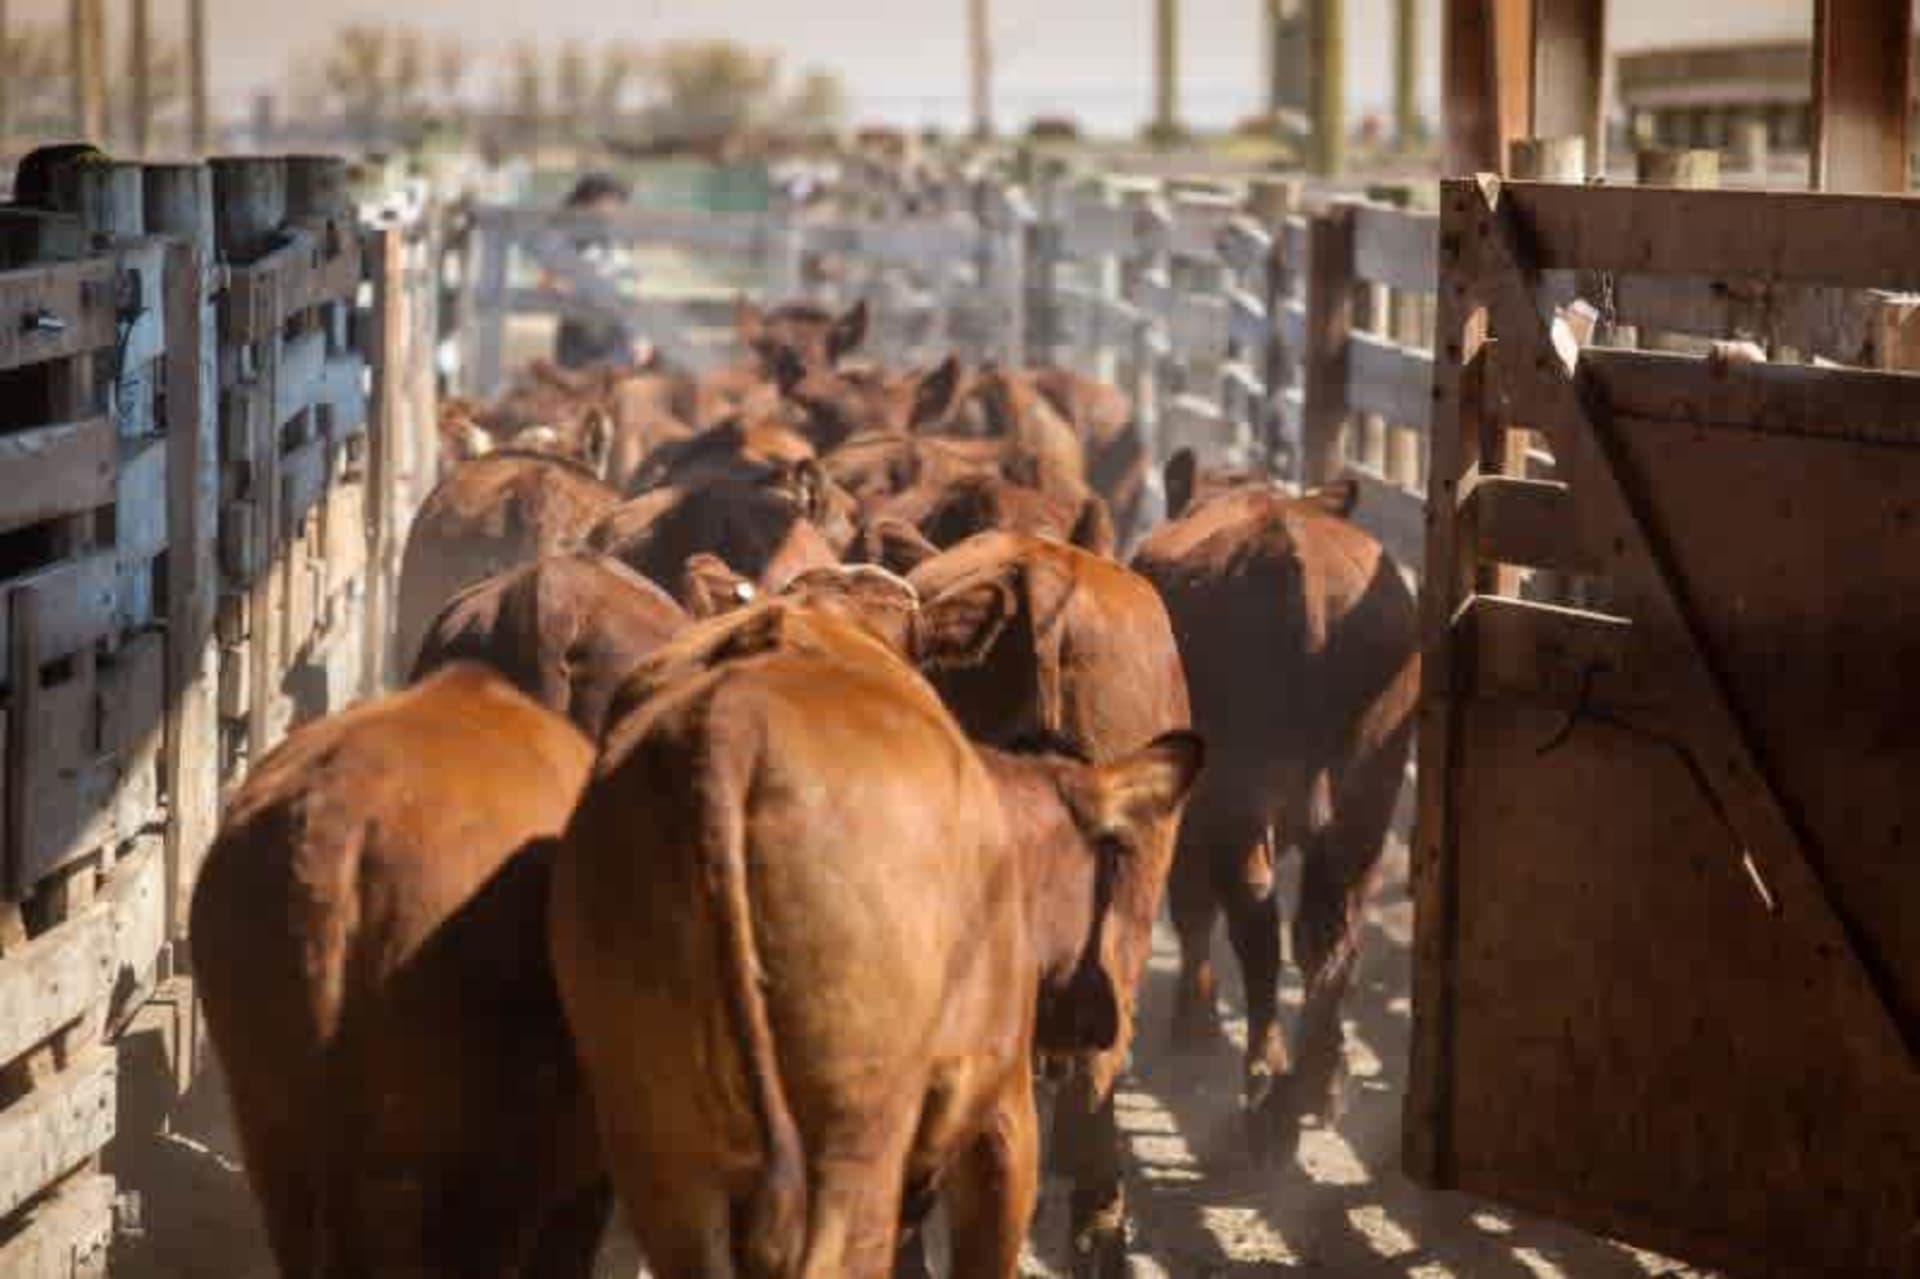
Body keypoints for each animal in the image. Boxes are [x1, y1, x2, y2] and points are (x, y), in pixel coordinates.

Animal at [549, 601, 1203, 1278]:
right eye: (1112, 863)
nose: (1102, 1019)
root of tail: (731, 725)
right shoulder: (1002, 1112)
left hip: (659, 1151)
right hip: (856, 1139)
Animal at [1131, 449, 1419, 1164]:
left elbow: (1193, 909)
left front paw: (1195, 1024)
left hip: (1237, 795)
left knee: (1255, 922)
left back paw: (1266, 1085)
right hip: (1369, 791)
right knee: (1333, 931)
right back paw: (1317, 1081)